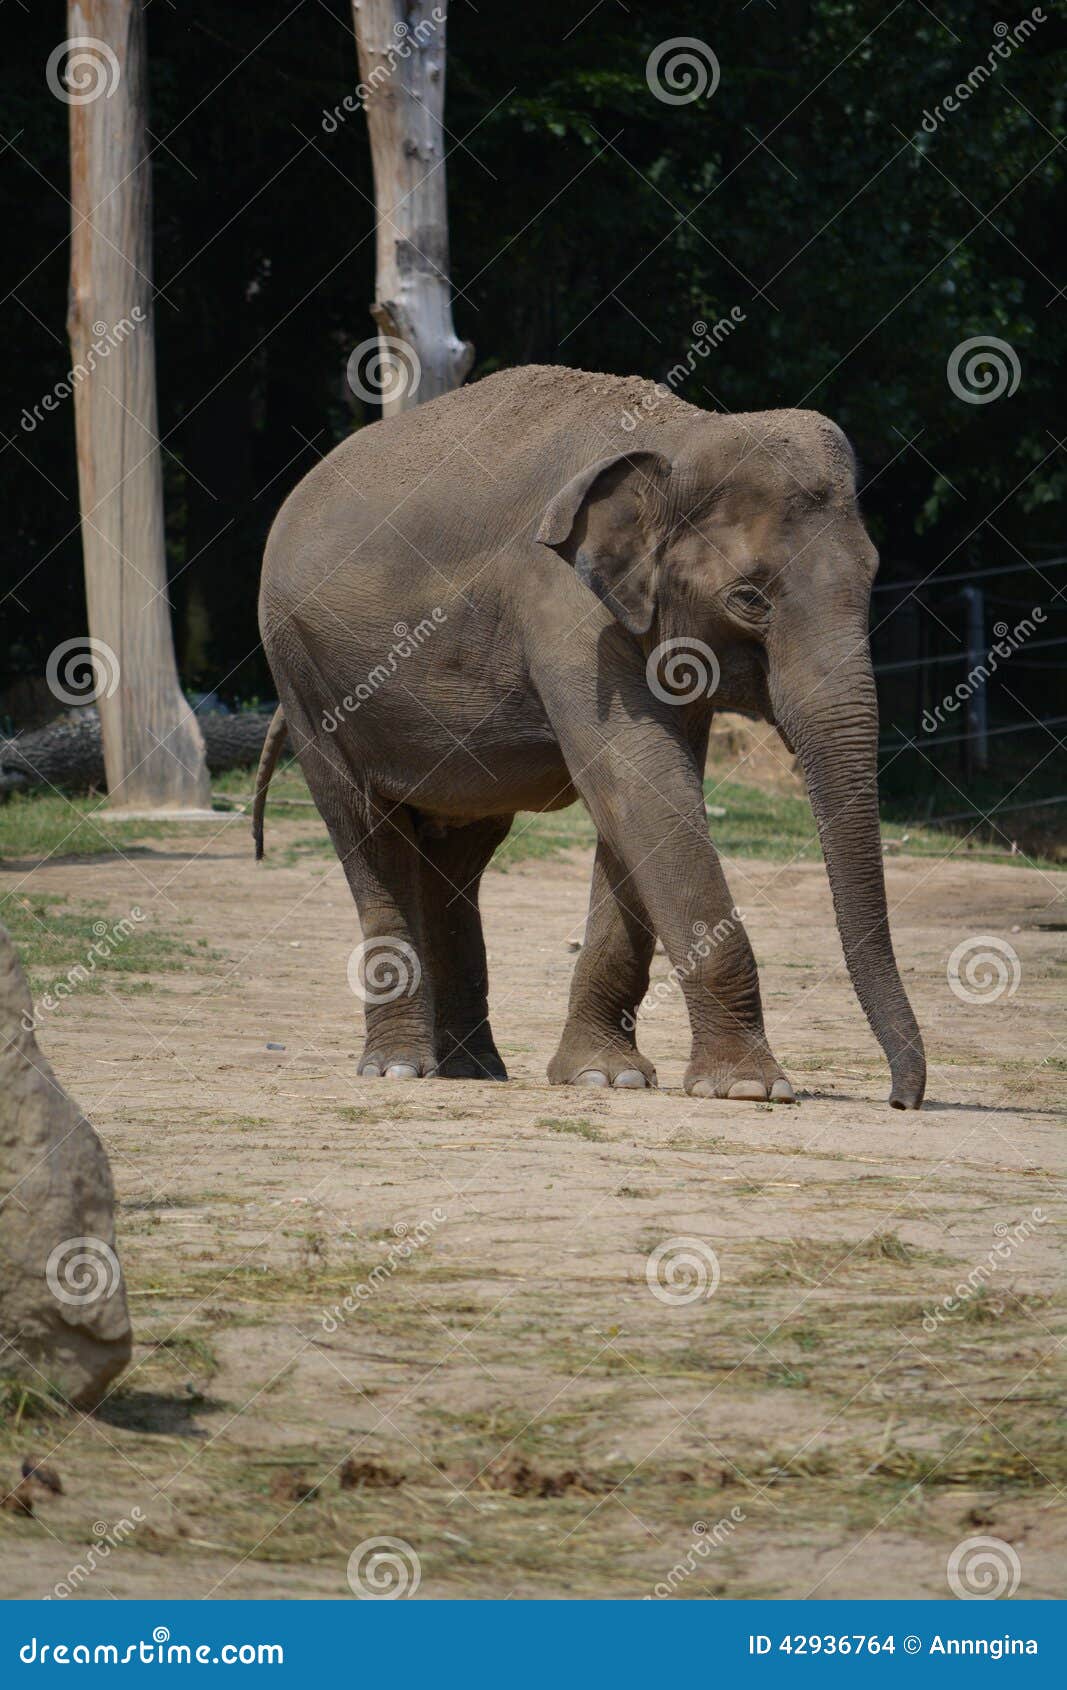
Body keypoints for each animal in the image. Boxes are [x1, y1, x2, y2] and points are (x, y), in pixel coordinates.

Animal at [254, 364, 925, 1110]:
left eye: (870, 577)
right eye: (750, 599)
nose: (902, 1099)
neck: (683, 432)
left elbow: (637, 808)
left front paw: (606, 1076)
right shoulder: (564, 605)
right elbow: (641, 784)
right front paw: (749, 1089)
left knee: (455, 857)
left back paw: (472, 1068)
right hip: (303, 677)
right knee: (366, 834)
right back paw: (400, 1068)